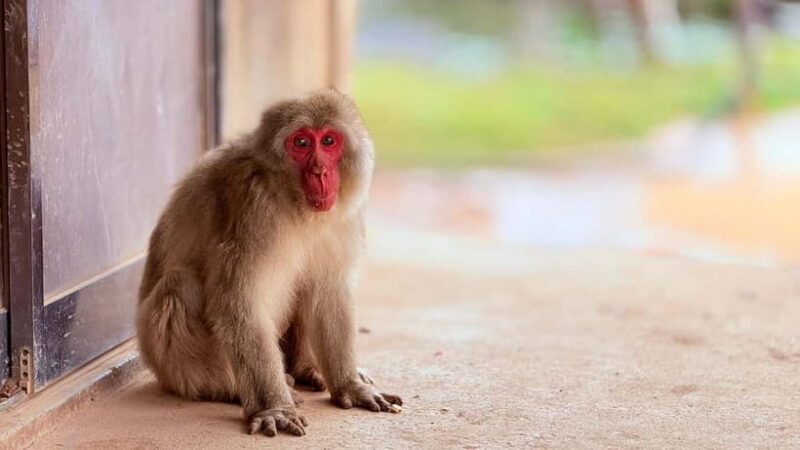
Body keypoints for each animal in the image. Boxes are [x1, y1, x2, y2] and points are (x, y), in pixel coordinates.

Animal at [136, 89, 402, 437]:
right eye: (301, 143)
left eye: (329, 141)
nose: (320, 171)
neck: (294, 201)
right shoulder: (255, 208)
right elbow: (240, 301)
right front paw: (273, 407)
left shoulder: (342, 218)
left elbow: (328, 292)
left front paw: (349, 384)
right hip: (170, 366)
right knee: (179, 284)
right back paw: (226, 387)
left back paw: (308, 370)